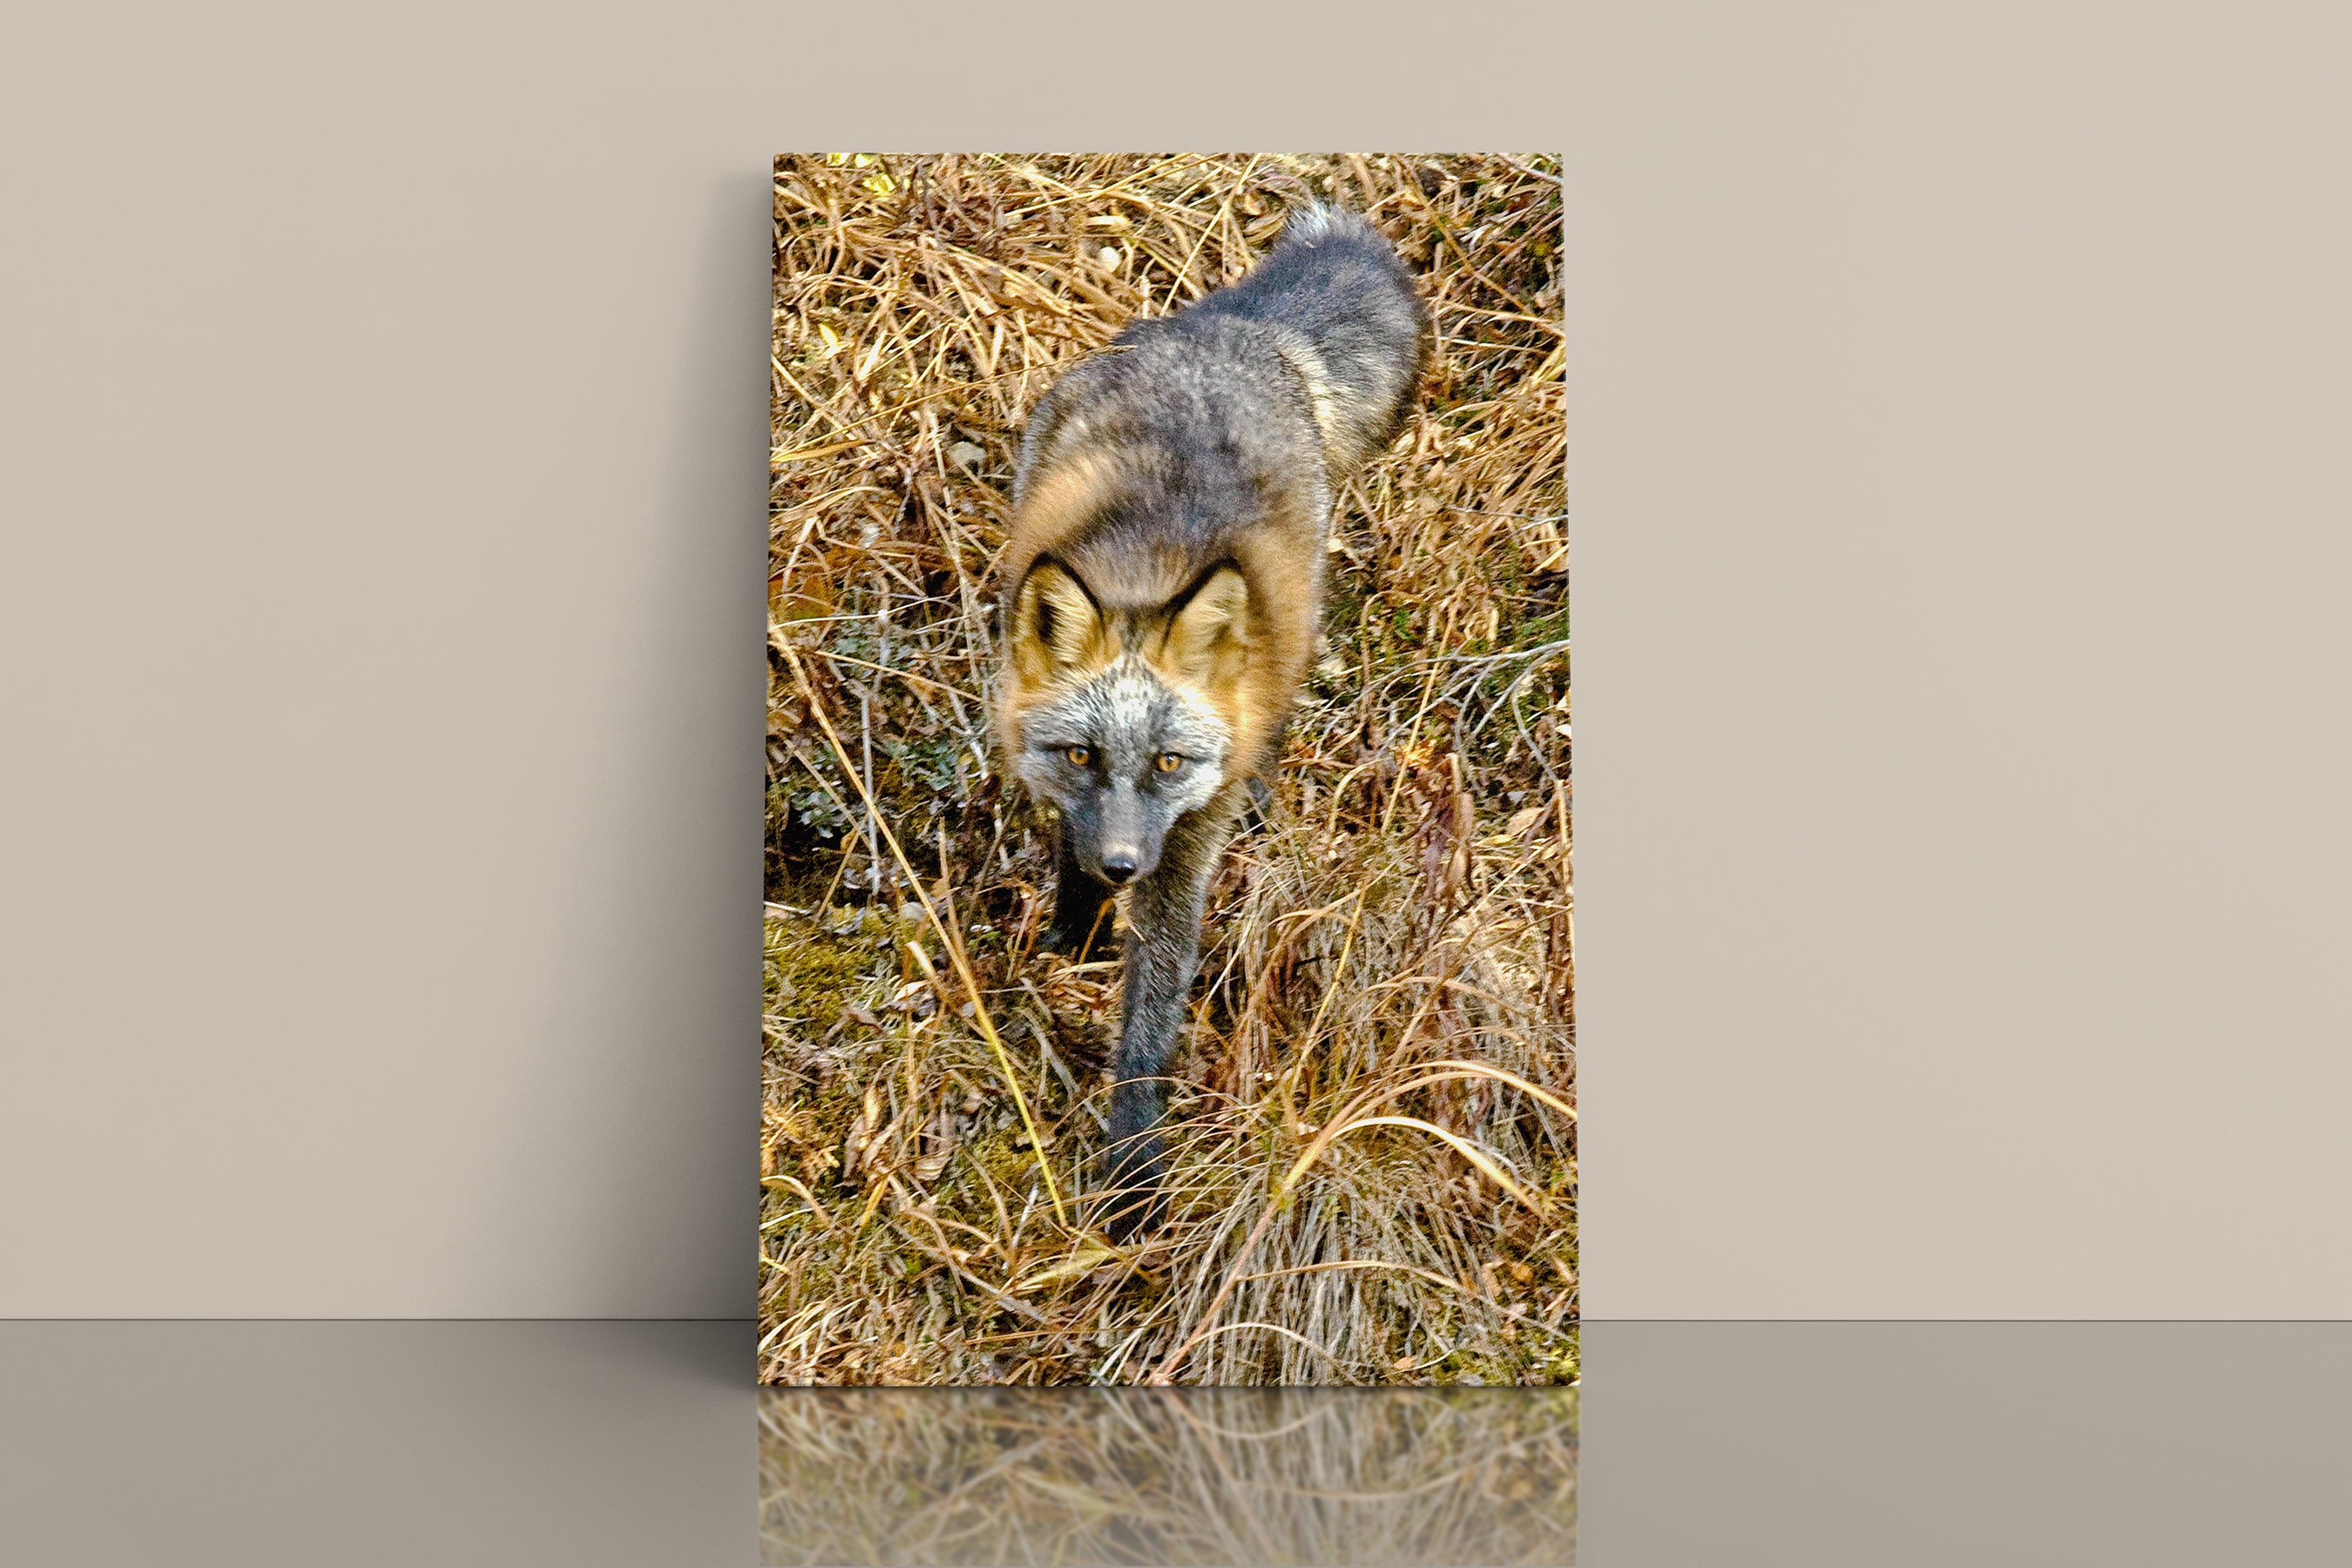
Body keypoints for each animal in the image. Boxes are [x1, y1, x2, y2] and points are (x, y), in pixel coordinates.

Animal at [994, 204, 1429, 1240]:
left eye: (1167, 763)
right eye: (1083, 753)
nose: (1124, 865)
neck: (1145, 577)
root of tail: (1233, 331)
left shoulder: (1187, 845)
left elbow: (1151, 1017)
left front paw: (1132, 1171)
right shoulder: (1073, 798)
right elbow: (1066, 853)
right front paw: (1071, 940)